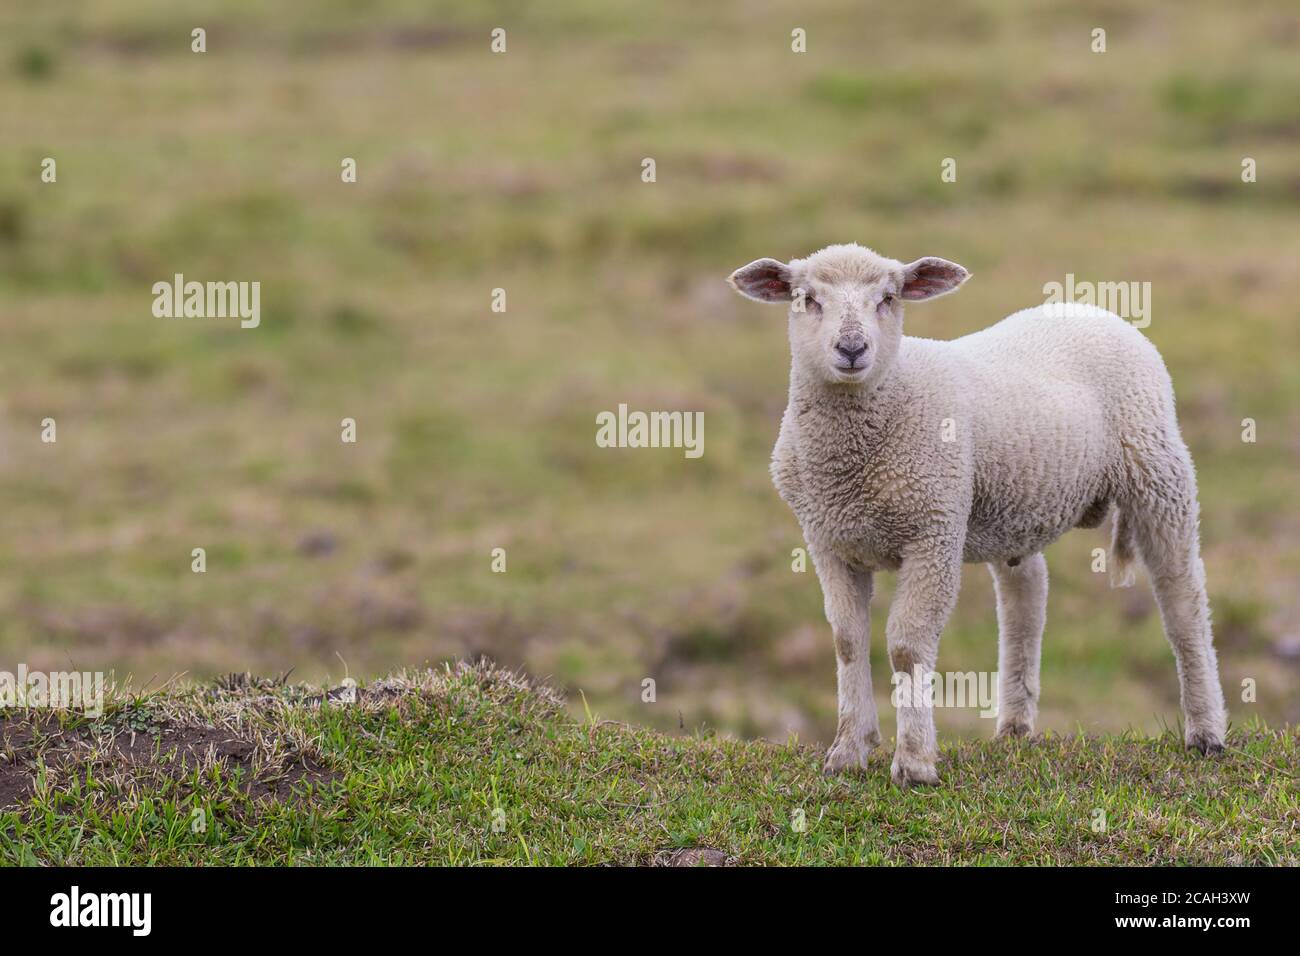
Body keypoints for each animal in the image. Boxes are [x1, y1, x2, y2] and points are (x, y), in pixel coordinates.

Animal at [727, 243, 1227, 786]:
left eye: (889, 298)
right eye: (806, 299)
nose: (852, 348)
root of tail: (1090, 308)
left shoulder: (934, 532)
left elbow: (907, 645)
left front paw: (915, 761)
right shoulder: (829, 542)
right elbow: (847, 640)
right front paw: (848, 750)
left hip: (1157, 470)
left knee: (1183, 600)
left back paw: (1206, 732)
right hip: (1014, 508)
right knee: (1026, 597)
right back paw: (1015, 726)